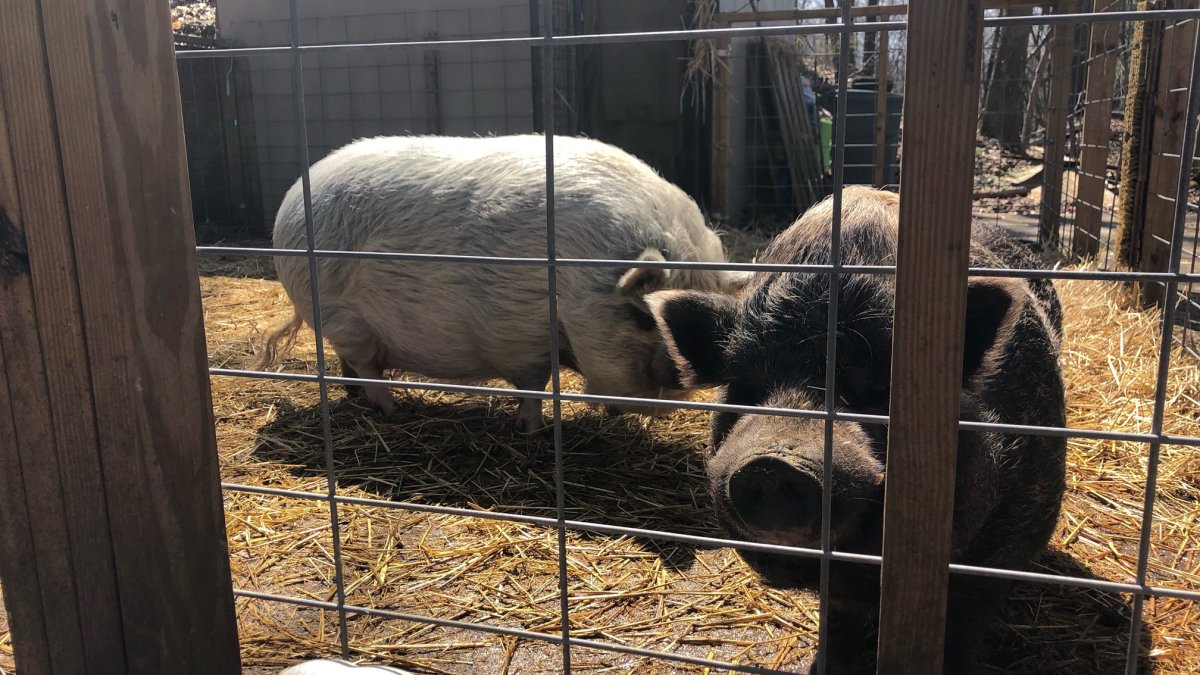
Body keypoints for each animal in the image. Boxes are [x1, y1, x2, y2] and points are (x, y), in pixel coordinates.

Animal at [257, 134, 749, 433]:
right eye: (642, 317)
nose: (683, 375)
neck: (570, 278)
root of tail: (289, 200)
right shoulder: (515, 334)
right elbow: (534, 385)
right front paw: (534, 430)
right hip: (340, 316)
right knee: (366, 367)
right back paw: (396, 409)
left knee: (353, 368)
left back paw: (360, 398)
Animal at [647, 186, 1066, 673]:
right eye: (745, 385)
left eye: (876, 389)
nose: (771, 464)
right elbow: (838, 619)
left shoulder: (1008, 542)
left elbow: (964, 627)